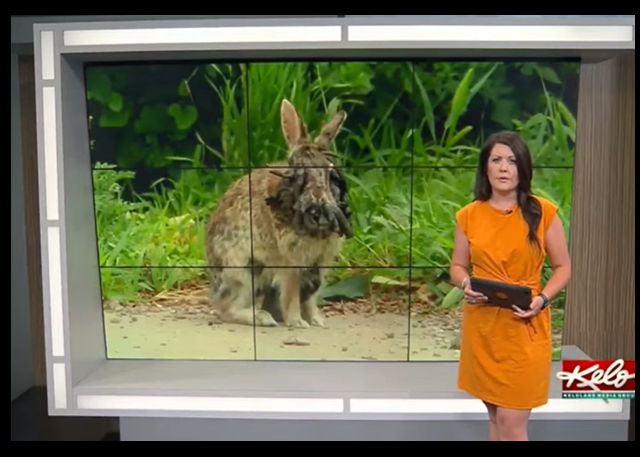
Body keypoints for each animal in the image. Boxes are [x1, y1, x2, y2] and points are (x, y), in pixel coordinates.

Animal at [205, 99, 353, 329]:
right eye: (298, 174)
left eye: (330, 173)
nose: (319, 204)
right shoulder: (290, 260)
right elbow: (291, 292)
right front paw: (297, 322)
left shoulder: (318, 262)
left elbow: (310, 297)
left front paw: (317, 320)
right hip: (245, 272)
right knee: (227, 308)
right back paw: (263, 318)